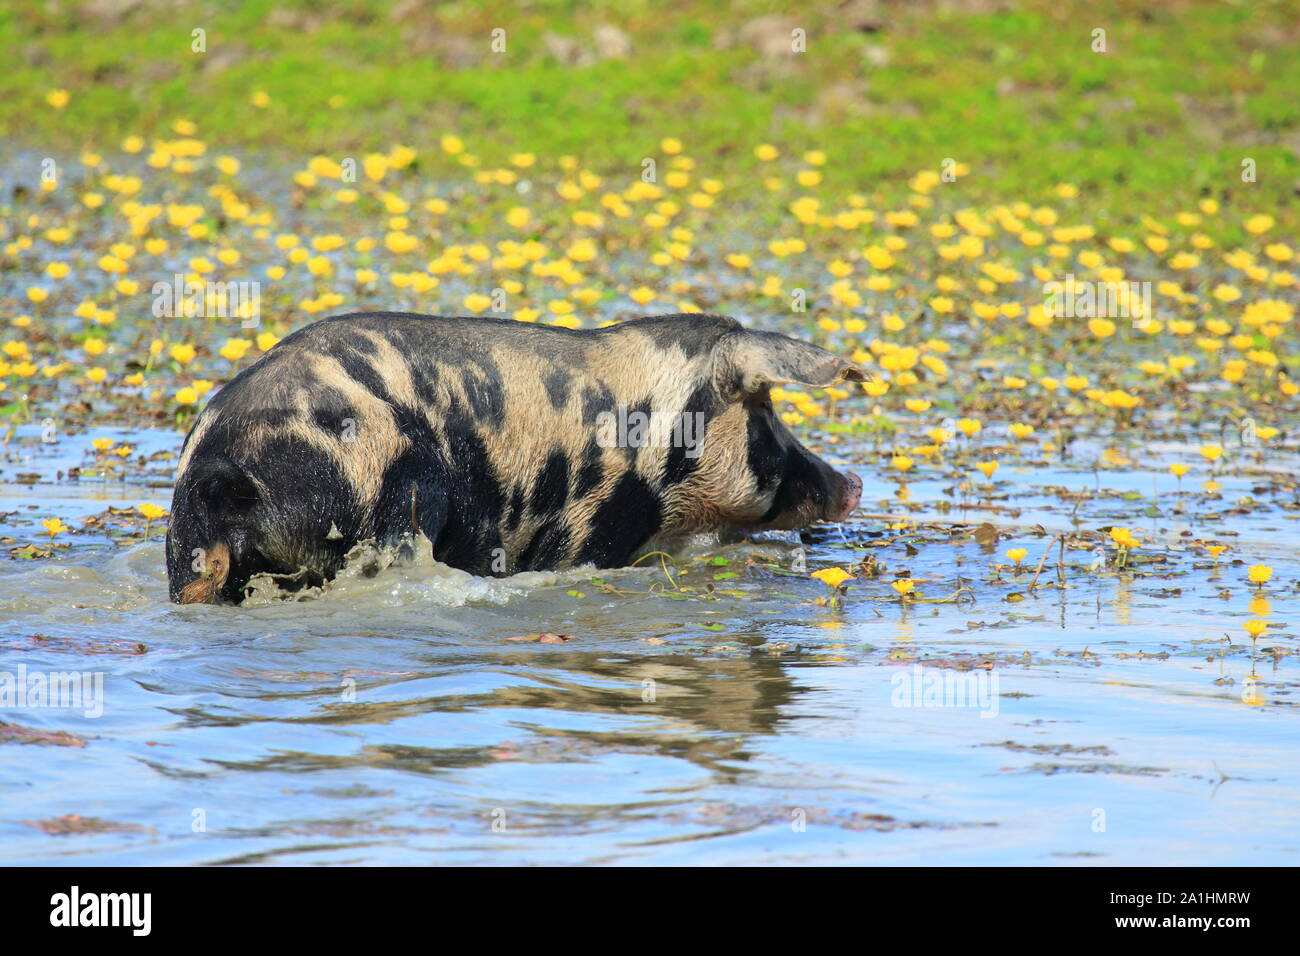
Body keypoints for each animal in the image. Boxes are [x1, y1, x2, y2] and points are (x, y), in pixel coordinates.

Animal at [166, 312, 864, 604]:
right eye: (767, 414)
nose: (854, 482)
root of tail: (221, 471)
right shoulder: (593, 527)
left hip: (187, 554)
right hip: (387, 507)